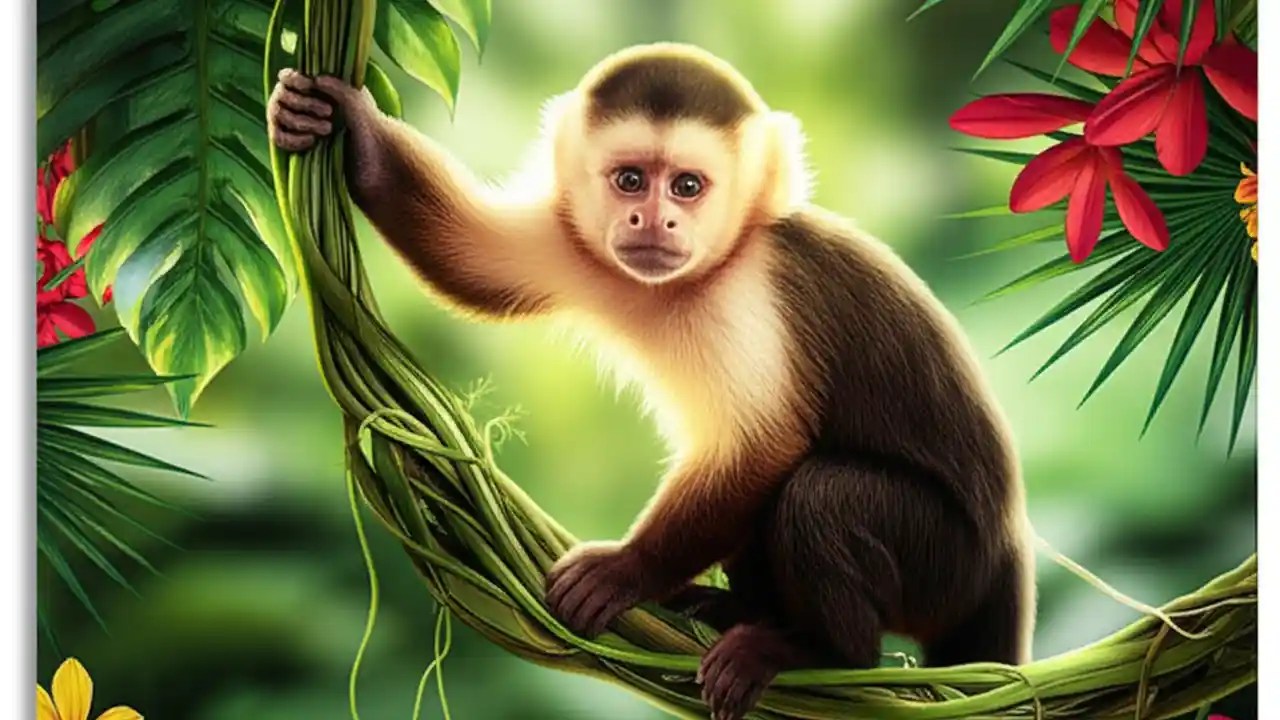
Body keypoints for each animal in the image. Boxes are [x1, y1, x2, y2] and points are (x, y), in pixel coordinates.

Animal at [269, 43, 1036, 720]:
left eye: (688, 187)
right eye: (631, 180)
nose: (654, 219)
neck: (707, 271)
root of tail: (1007, 555)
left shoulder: (753, 293)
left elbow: (762, 447)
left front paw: (625, 570)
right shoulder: (583, 241)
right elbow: (469, 254)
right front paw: (344, 126)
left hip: (947, 565)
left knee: (818, 494)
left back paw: (820, 654)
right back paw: (739, 611)